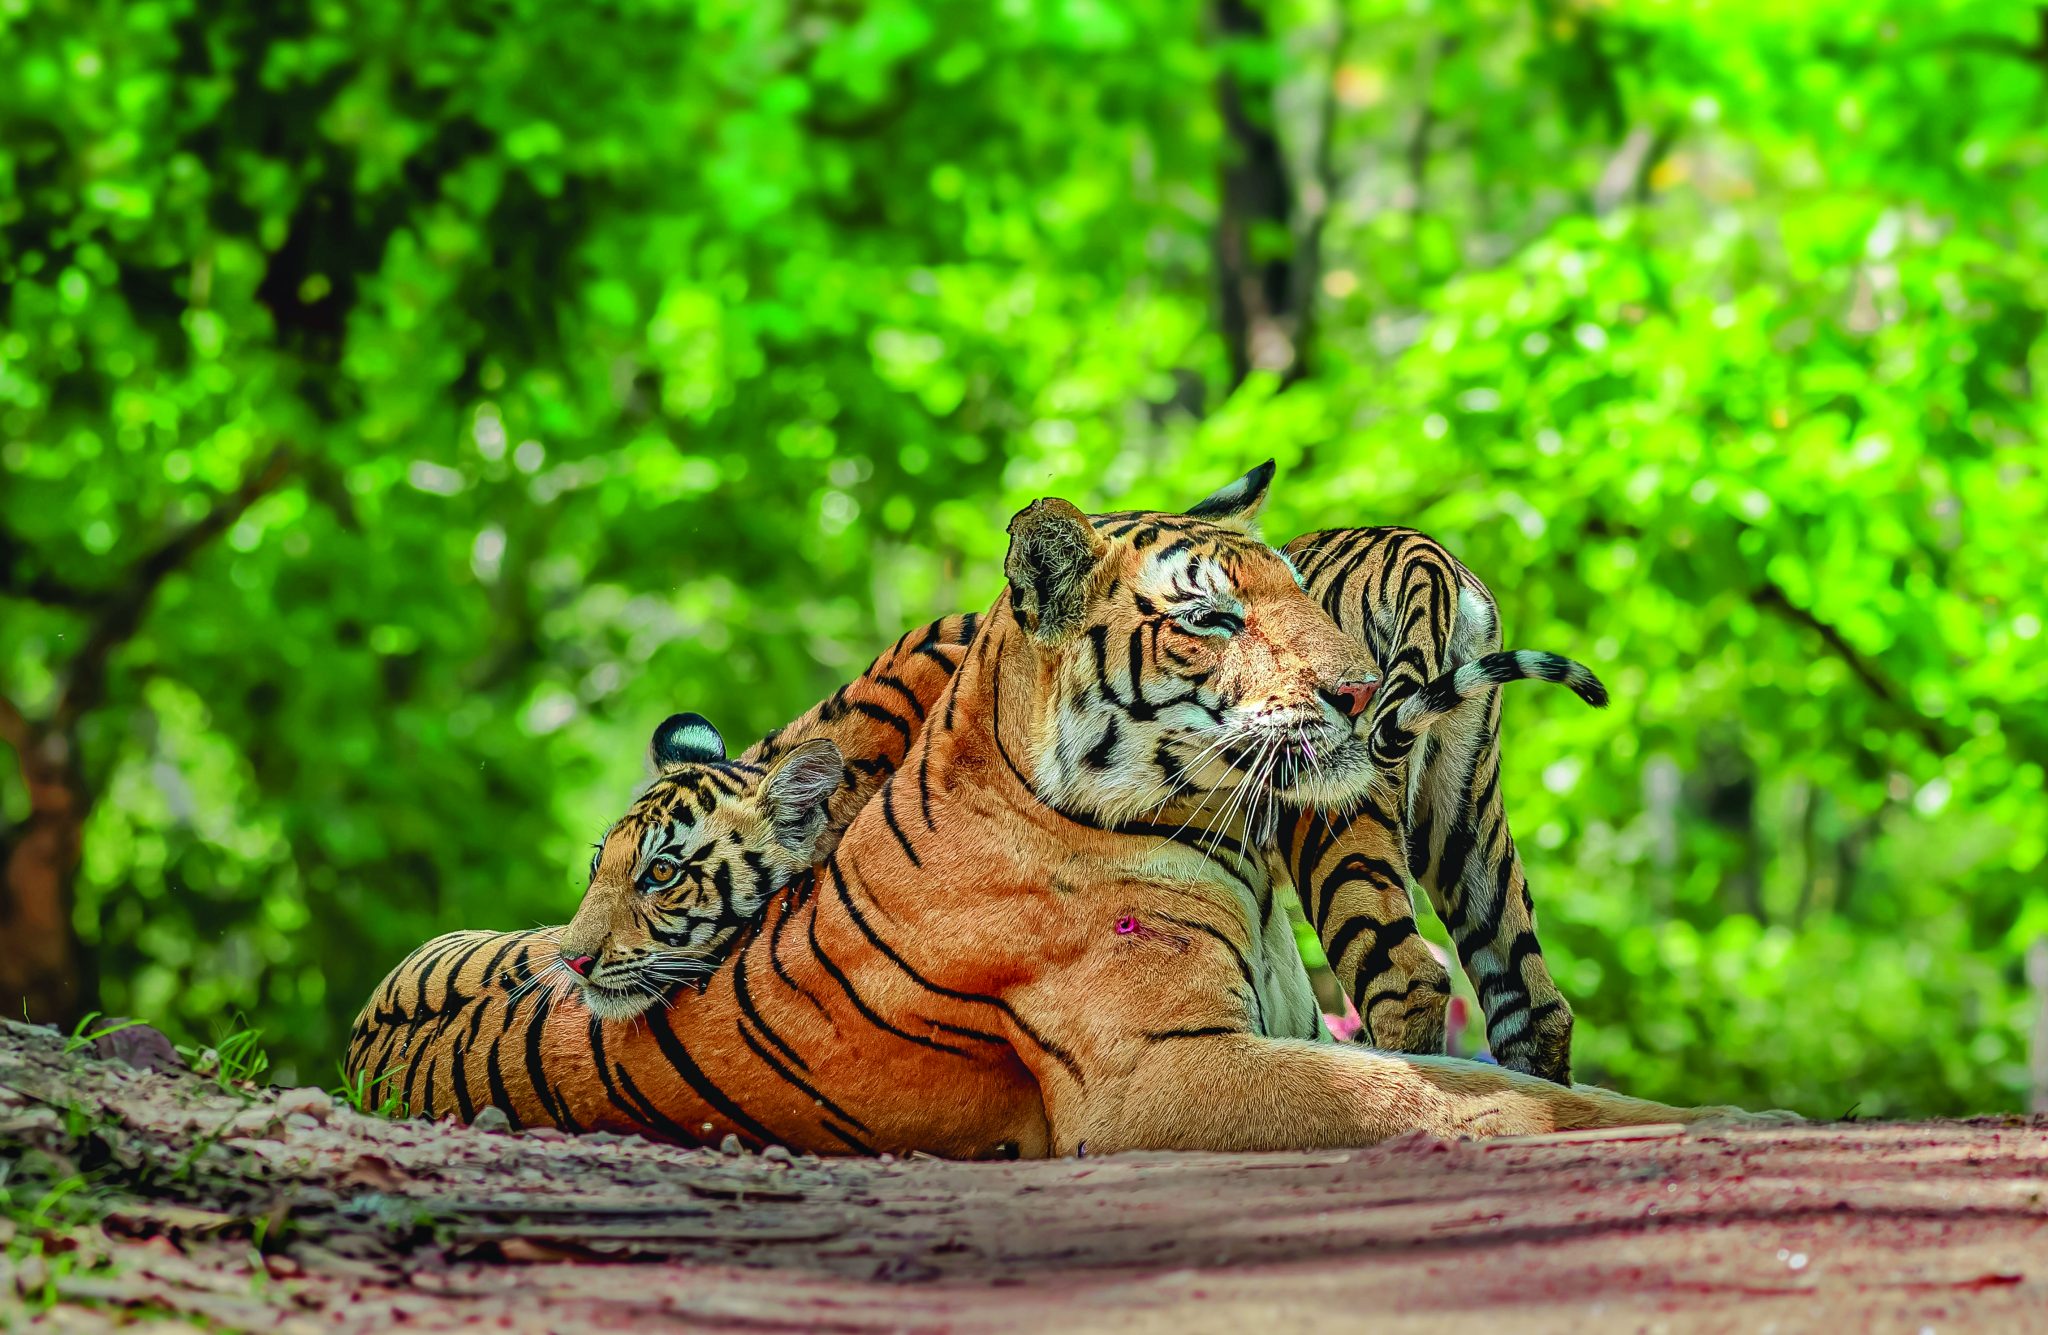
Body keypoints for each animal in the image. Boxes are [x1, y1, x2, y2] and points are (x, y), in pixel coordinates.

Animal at [346, 463, 1782, 1152]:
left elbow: (1464, 1080)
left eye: (1292, 591)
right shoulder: (1162, 1071)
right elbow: (1438, 1095)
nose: (1355, 683)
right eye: (1211, 616)